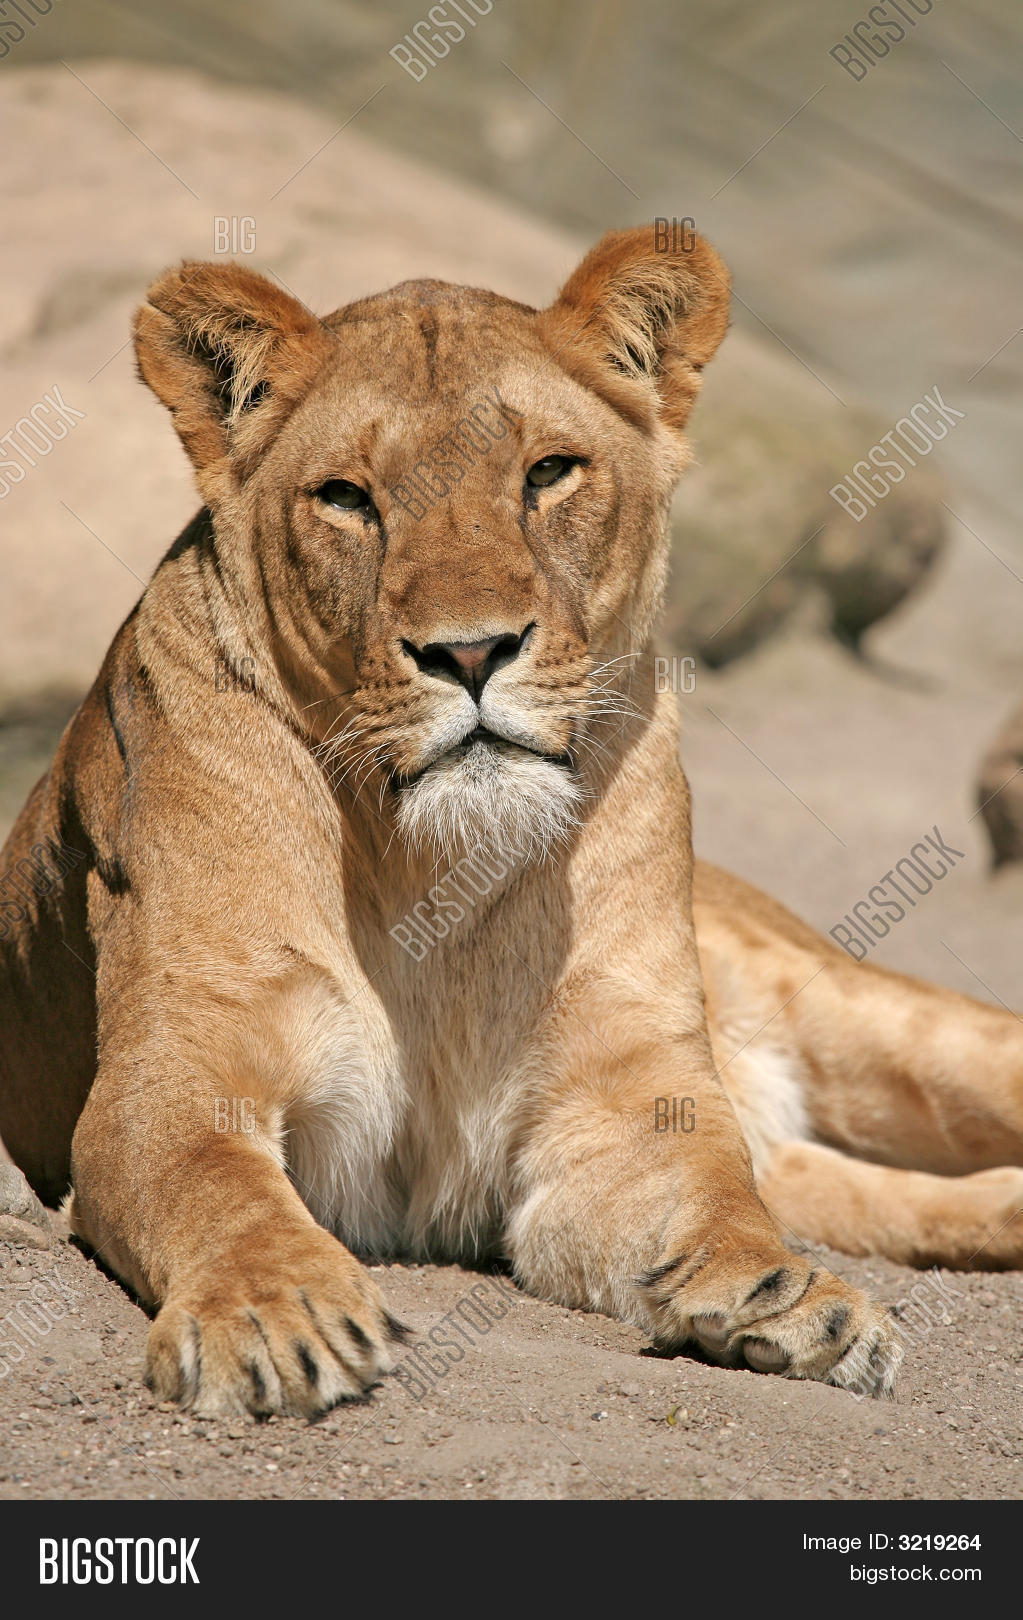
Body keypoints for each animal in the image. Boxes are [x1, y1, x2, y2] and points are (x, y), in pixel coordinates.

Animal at [1, 227, 1020, 1419]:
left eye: (547, 473)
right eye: (346, 497)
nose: (471, 651)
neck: (432, 870)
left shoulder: (627, 1104)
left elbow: (718, 1203)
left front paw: (779, 1297)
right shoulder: (171, 1077)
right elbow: (226, 1193)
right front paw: (273, 1315)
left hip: (868, 1015)